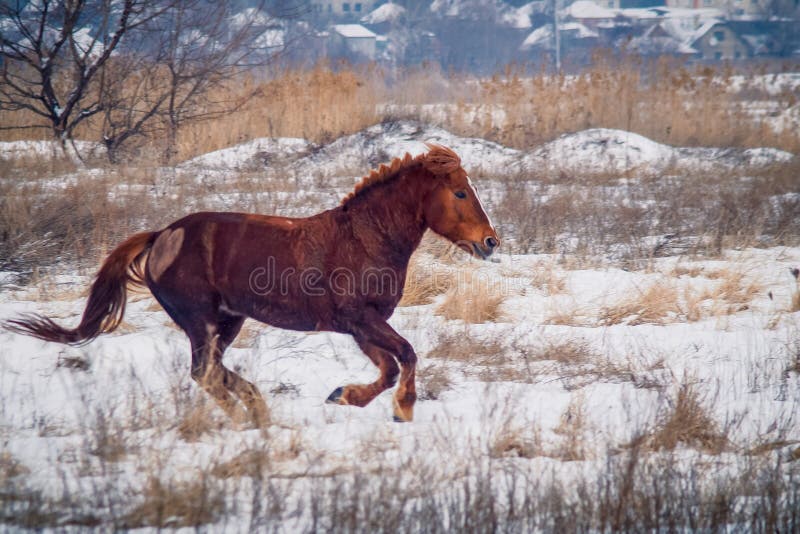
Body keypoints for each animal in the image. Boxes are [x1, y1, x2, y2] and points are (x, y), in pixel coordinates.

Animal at [5, 144, 499, 426]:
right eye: (459, 192)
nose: (490, 242)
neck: (364, 237)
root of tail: (161, 235)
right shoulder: (360, 318)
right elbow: (406, 357)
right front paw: (403, 410)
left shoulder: (363, 326)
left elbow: (389, 368)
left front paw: (344, 396)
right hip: (201, 320)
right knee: (205, 372)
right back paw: (249, 421)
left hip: (228, 321)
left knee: (210, 371)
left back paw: (258, 411)